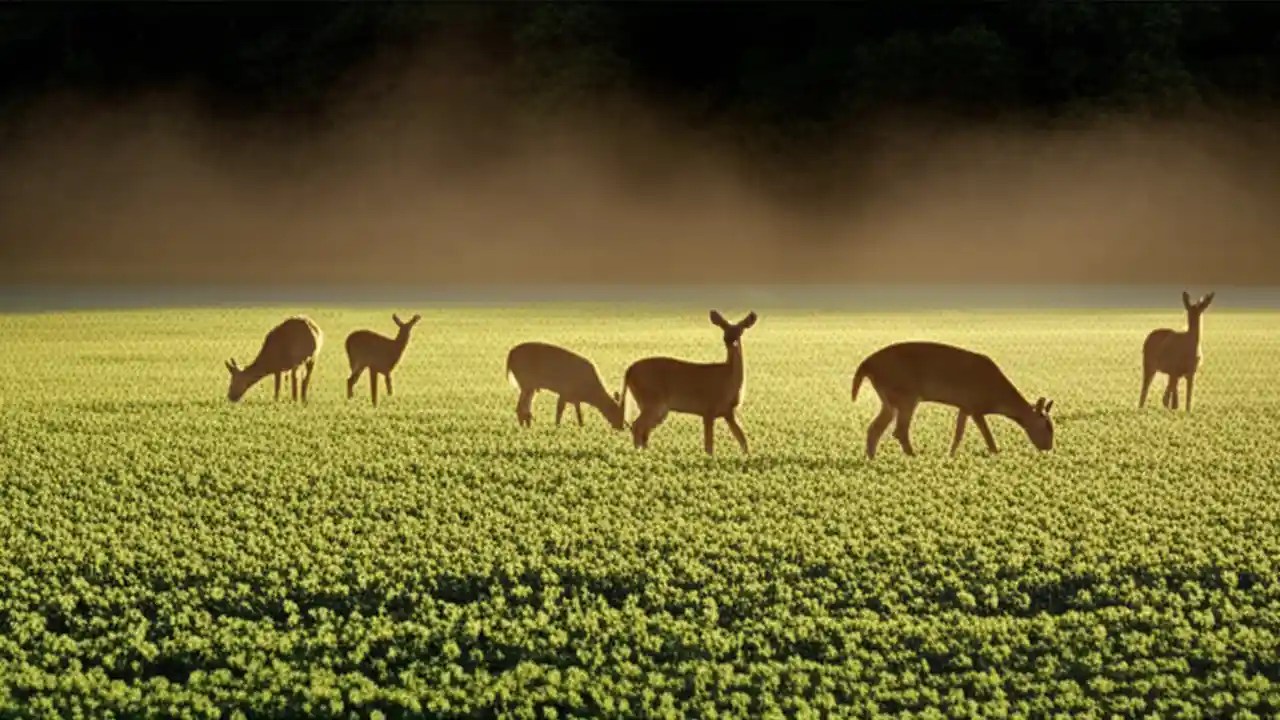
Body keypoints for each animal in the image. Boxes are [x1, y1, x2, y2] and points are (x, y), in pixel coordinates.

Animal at [620, 310, 758, 455]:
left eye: (740, 330)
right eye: (724, 328)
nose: (729, 340)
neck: (729, 380)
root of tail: (629, 370)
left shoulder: (729, 411)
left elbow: (742, 438)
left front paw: (748, 456)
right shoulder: (709, 408)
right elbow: (709, 445)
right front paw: (710, 458)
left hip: (651, 405)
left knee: (644, 430)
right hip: (652, 401)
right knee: (637, 426)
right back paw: (639, 453)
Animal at [851, 341, 1054, 459]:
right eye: (1046, 426)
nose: (1048, 447)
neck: (997, 397)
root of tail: (866, 365)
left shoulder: (964, 406)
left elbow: (958, 434)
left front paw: (951, 455)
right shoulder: (975, 405)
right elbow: (987, 435)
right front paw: (996, 453)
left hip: (888, 398)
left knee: (874, 428)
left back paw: (871, 458)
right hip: (905, 394)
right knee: (899, 430)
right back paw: (914, 457)